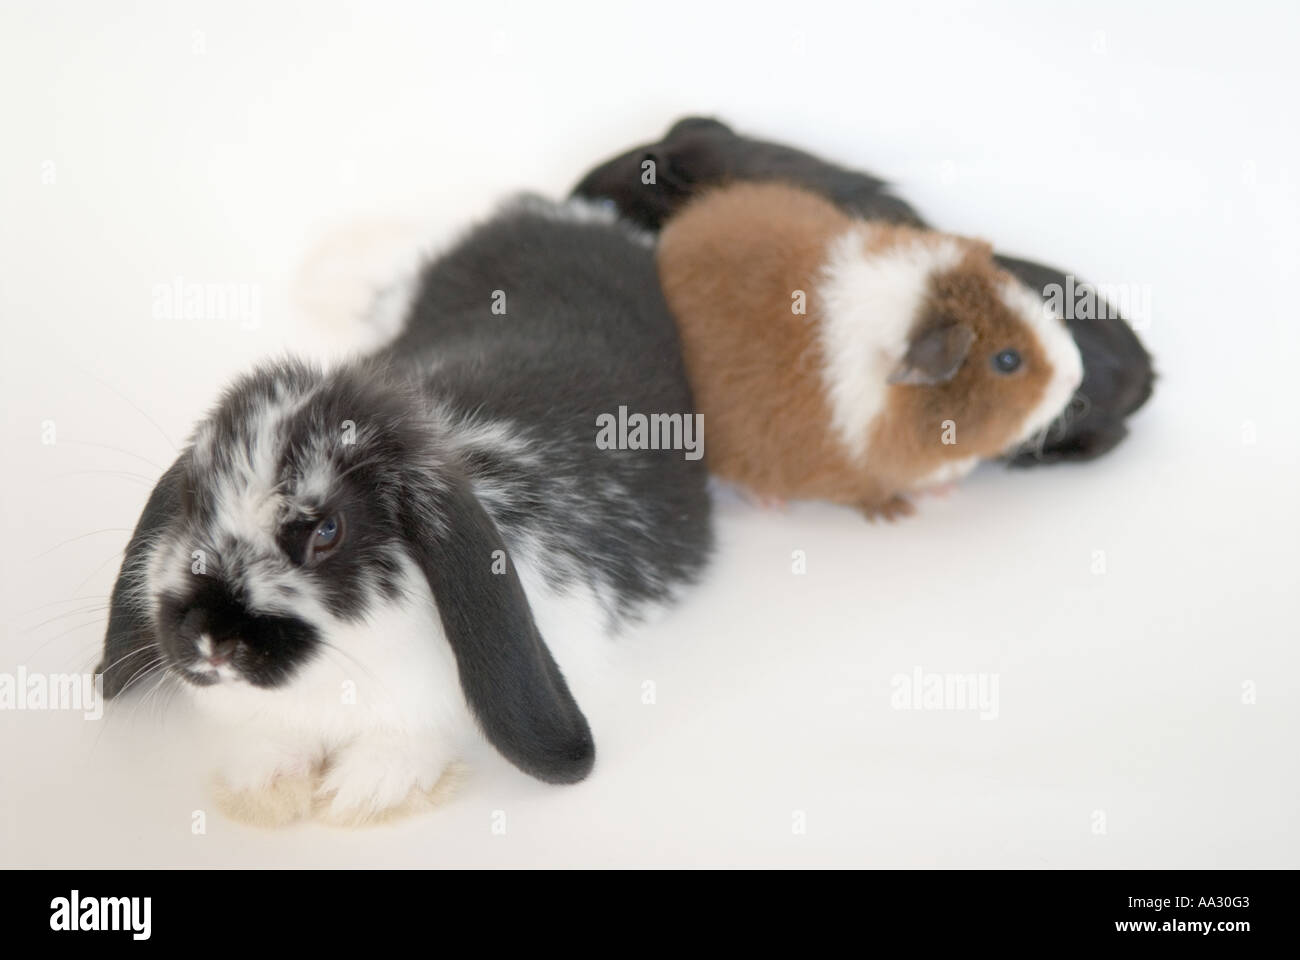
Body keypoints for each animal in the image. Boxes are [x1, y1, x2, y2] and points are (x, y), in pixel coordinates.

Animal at [97, 195, 713, 827]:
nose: (210, 643)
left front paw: (367, 790)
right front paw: (268, 785)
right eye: (192, 504)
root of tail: (571, 213)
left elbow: (417, 740)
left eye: (328, 531)